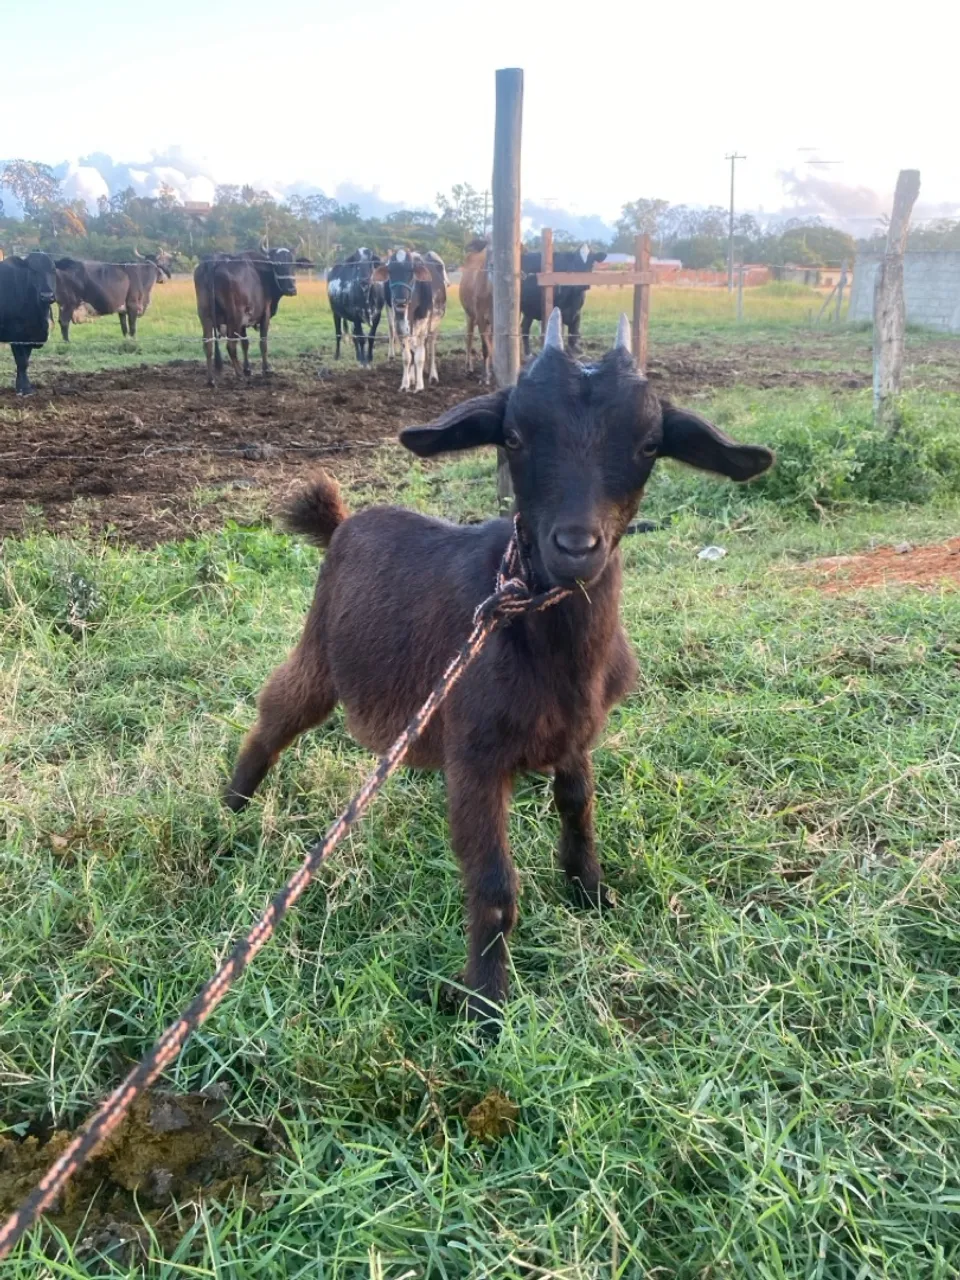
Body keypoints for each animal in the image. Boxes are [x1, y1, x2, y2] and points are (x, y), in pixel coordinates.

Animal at [224, 309, 774, 1023]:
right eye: (513, 436)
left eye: (650, 444)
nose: (575, 546)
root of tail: (342, 523)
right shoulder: (476, 757)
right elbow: (492, 883)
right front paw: (485, 1004)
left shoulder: (575, 736)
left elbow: (579, 810)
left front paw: (592, 895)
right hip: (320, 652)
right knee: (277, 710)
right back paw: (234, 804)